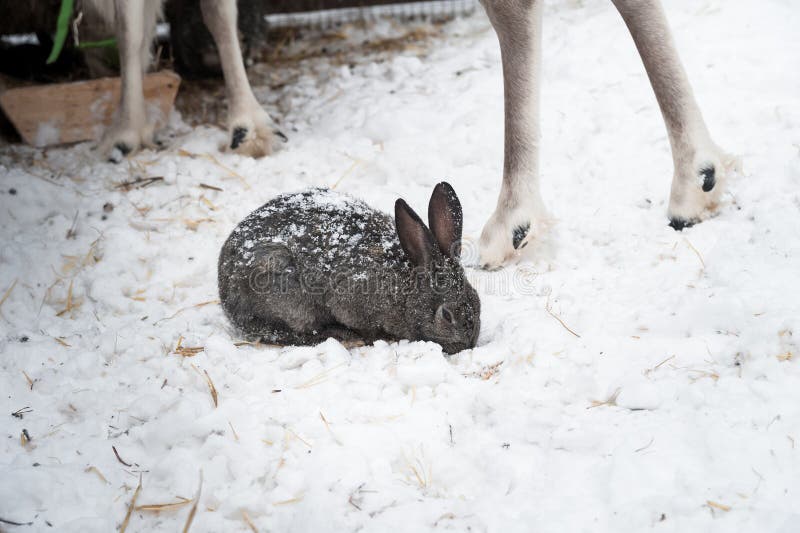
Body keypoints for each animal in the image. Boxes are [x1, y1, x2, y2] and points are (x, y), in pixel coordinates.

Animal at [218, 182, 480, 355]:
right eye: (447, 316)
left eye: (477, 300)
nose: (468, 343)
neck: (406, 288)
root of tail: (226, 296)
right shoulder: (353, 302)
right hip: (284, 290)